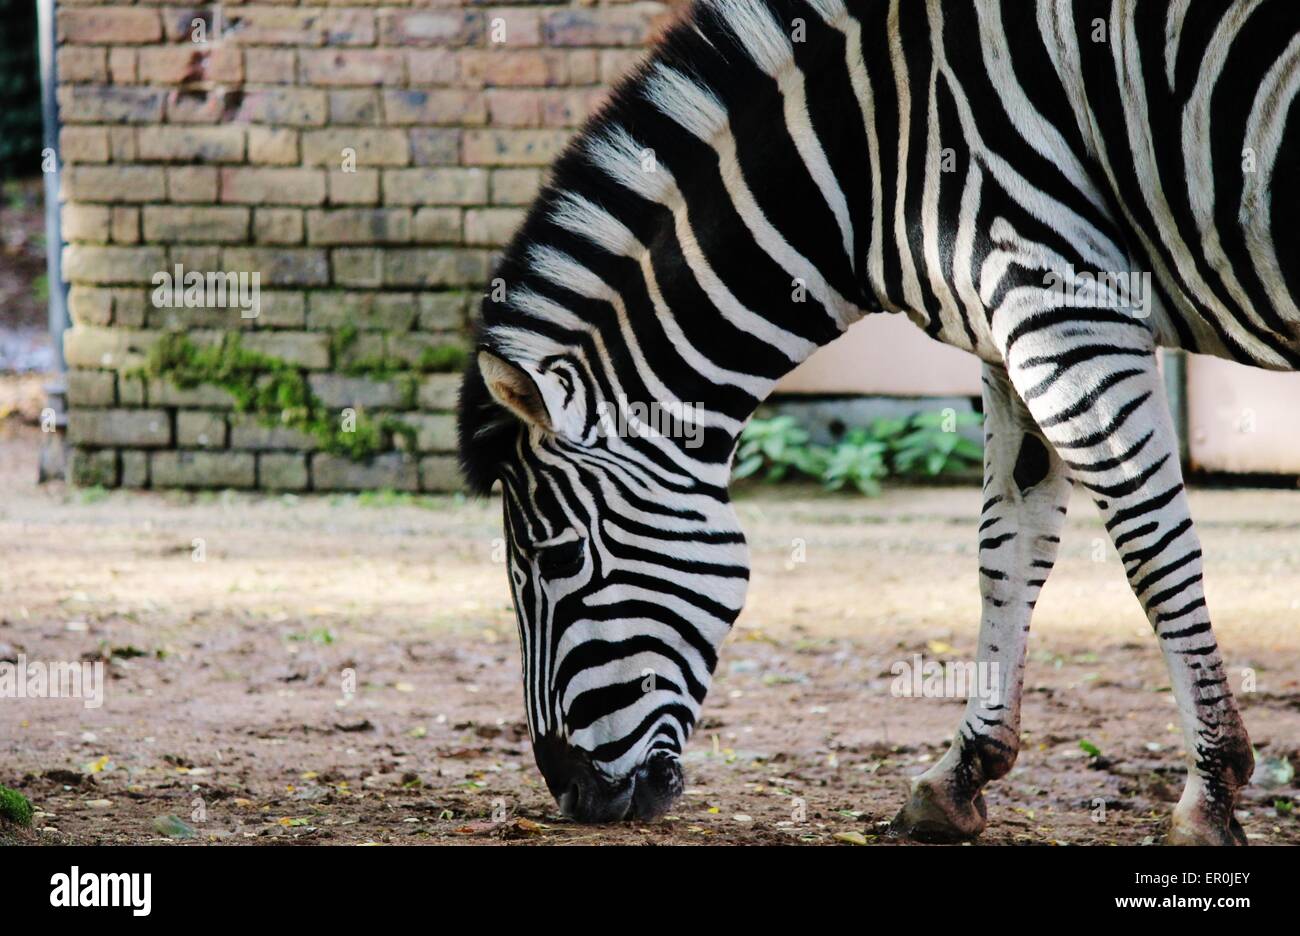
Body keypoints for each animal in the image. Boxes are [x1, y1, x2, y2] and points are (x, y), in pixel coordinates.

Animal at [457, 0, 1299, 843]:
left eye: (561, 559)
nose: (572, 795)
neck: (871, 152)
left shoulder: (1067, 303)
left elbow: (1152, 551)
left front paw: (1211, 793)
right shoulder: (1014, 332)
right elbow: (1008, 545)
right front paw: (960, 774)